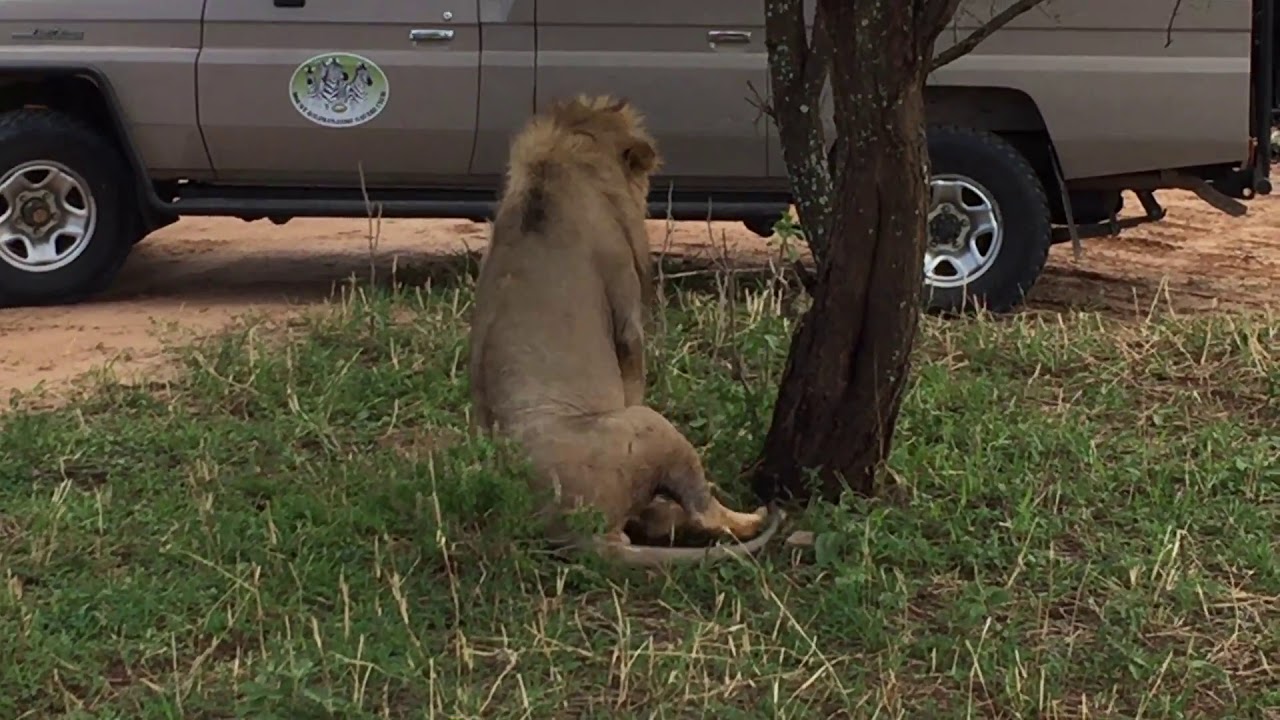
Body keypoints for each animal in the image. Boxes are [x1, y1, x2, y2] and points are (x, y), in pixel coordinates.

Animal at [466, 95, 783, 565]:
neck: (556, 163)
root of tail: (569, 529)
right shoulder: (625, 299)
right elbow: (634, 364)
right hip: (648, 424)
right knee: (702, 511)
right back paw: (754, 517)